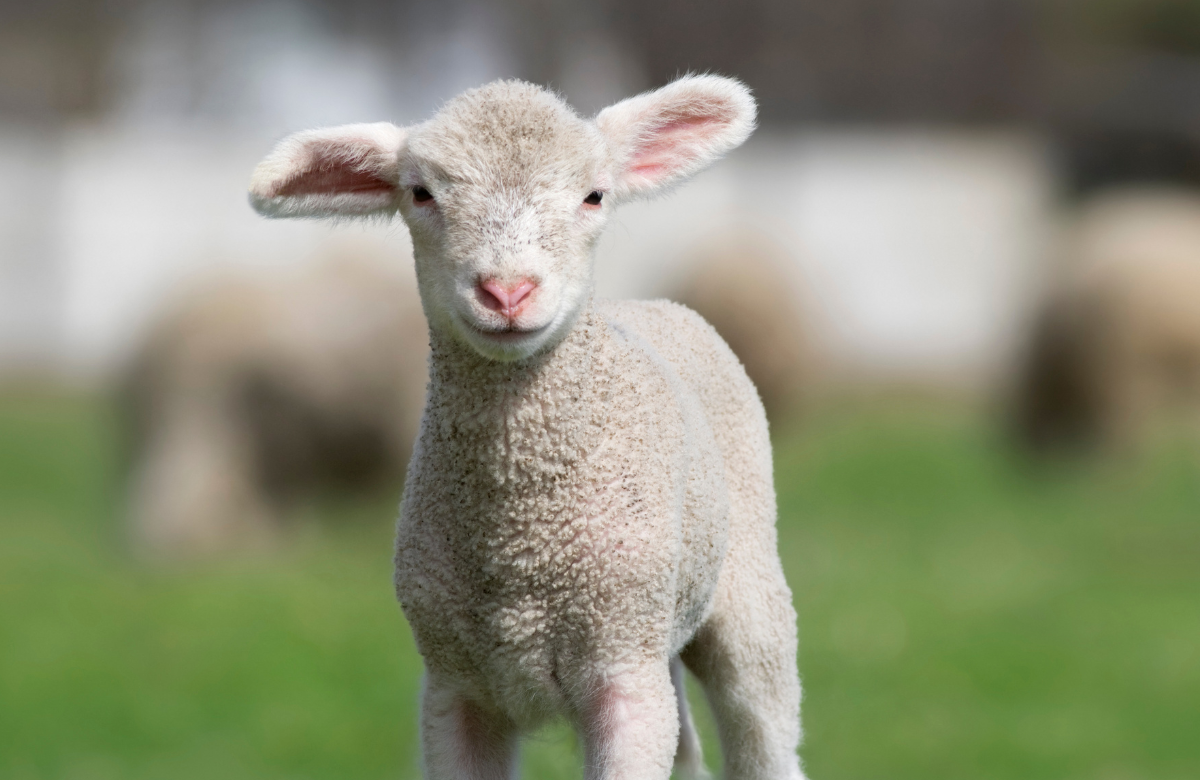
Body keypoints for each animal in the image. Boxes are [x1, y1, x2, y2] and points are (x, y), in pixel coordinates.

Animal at [249, 76, 806, 780]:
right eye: (421, 193)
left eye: (594, 194)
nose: (507, 292)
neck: (521, 544)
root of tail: (652, 304)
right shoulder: (455, 685)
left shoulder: (622, 668)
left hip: (744, 592)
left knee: (763, 729)